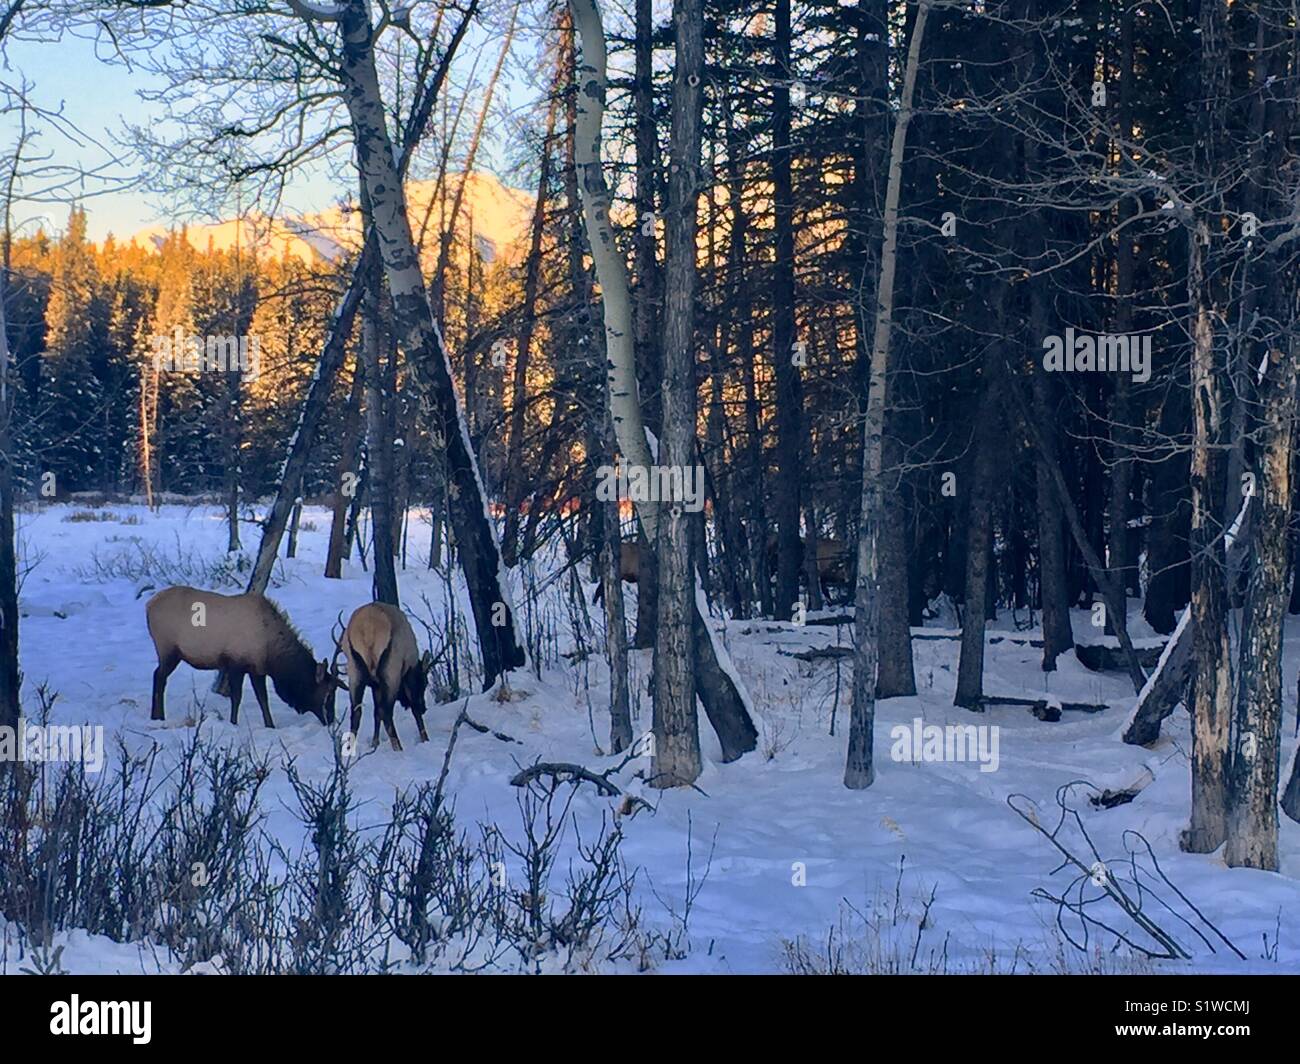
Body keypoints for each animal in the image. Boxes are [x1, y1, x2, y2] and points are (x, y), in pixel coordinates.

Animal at [146, 586, 342, 727]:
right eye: (328, 693)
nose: (331, 721)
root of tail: (148, 605)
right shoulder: (235, 663)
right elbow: (237, 697)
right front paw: (234, 723)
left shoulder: (257, 669)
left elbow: (263, 699)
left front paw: (270, 725)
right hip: (168, 649)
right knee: (159, 676)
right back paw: (158, 716)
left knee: (158, 676)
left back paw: (156, 716)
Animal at [336, 602, 433, 751]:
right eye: (424, 682)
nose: (424, 708)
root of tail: (367, 631)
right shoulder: (405, 674)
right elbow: (412, 708)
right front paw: (425, 739)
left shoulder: (375, 685)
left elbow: (377, 712)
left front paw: (374, 743)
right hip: (391, 671)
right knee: (387, 712)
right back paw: (398, 748)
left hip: (354, 672)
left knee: (356, 712)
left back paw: (349, 750)